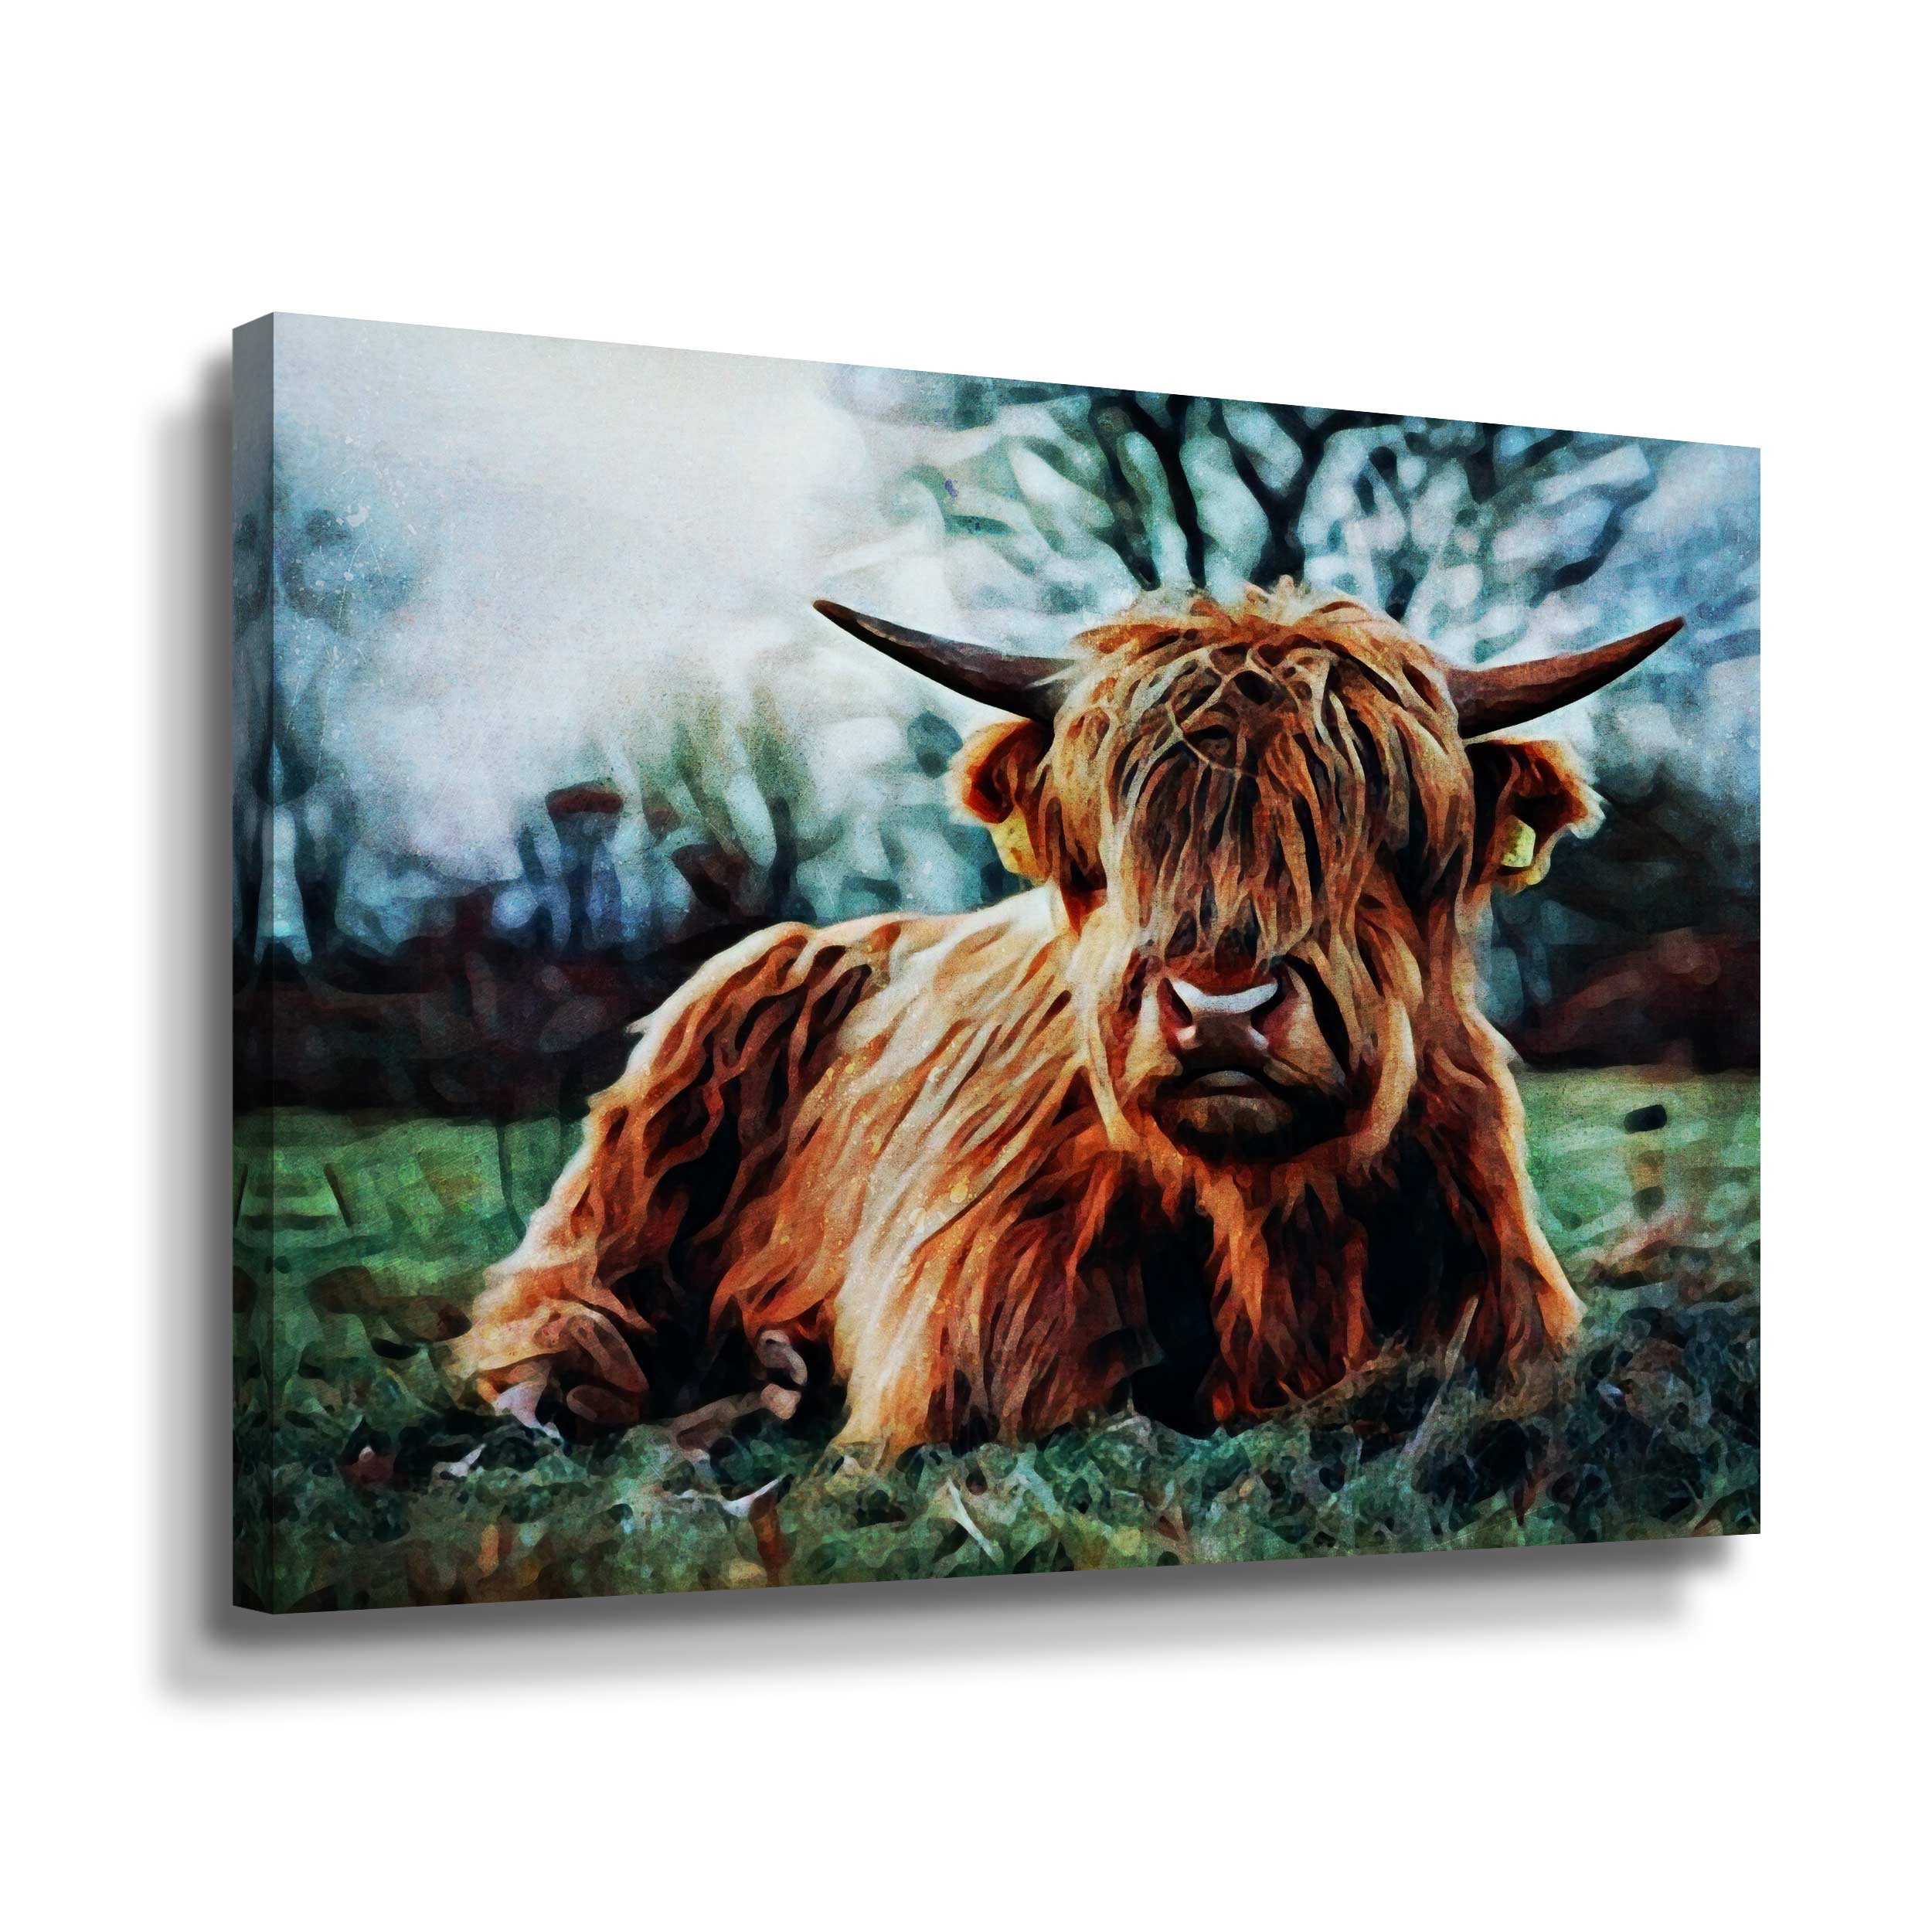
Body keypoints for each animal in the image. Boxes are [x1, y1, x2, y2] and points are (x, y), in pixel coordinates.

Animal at [450, 582, 1679, 1455]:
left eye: (1391, 838)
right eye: (1114, 839)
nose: (1221, 1009)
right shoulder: (977, 1354)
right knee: (566, 1281)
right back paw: (575, 1389)